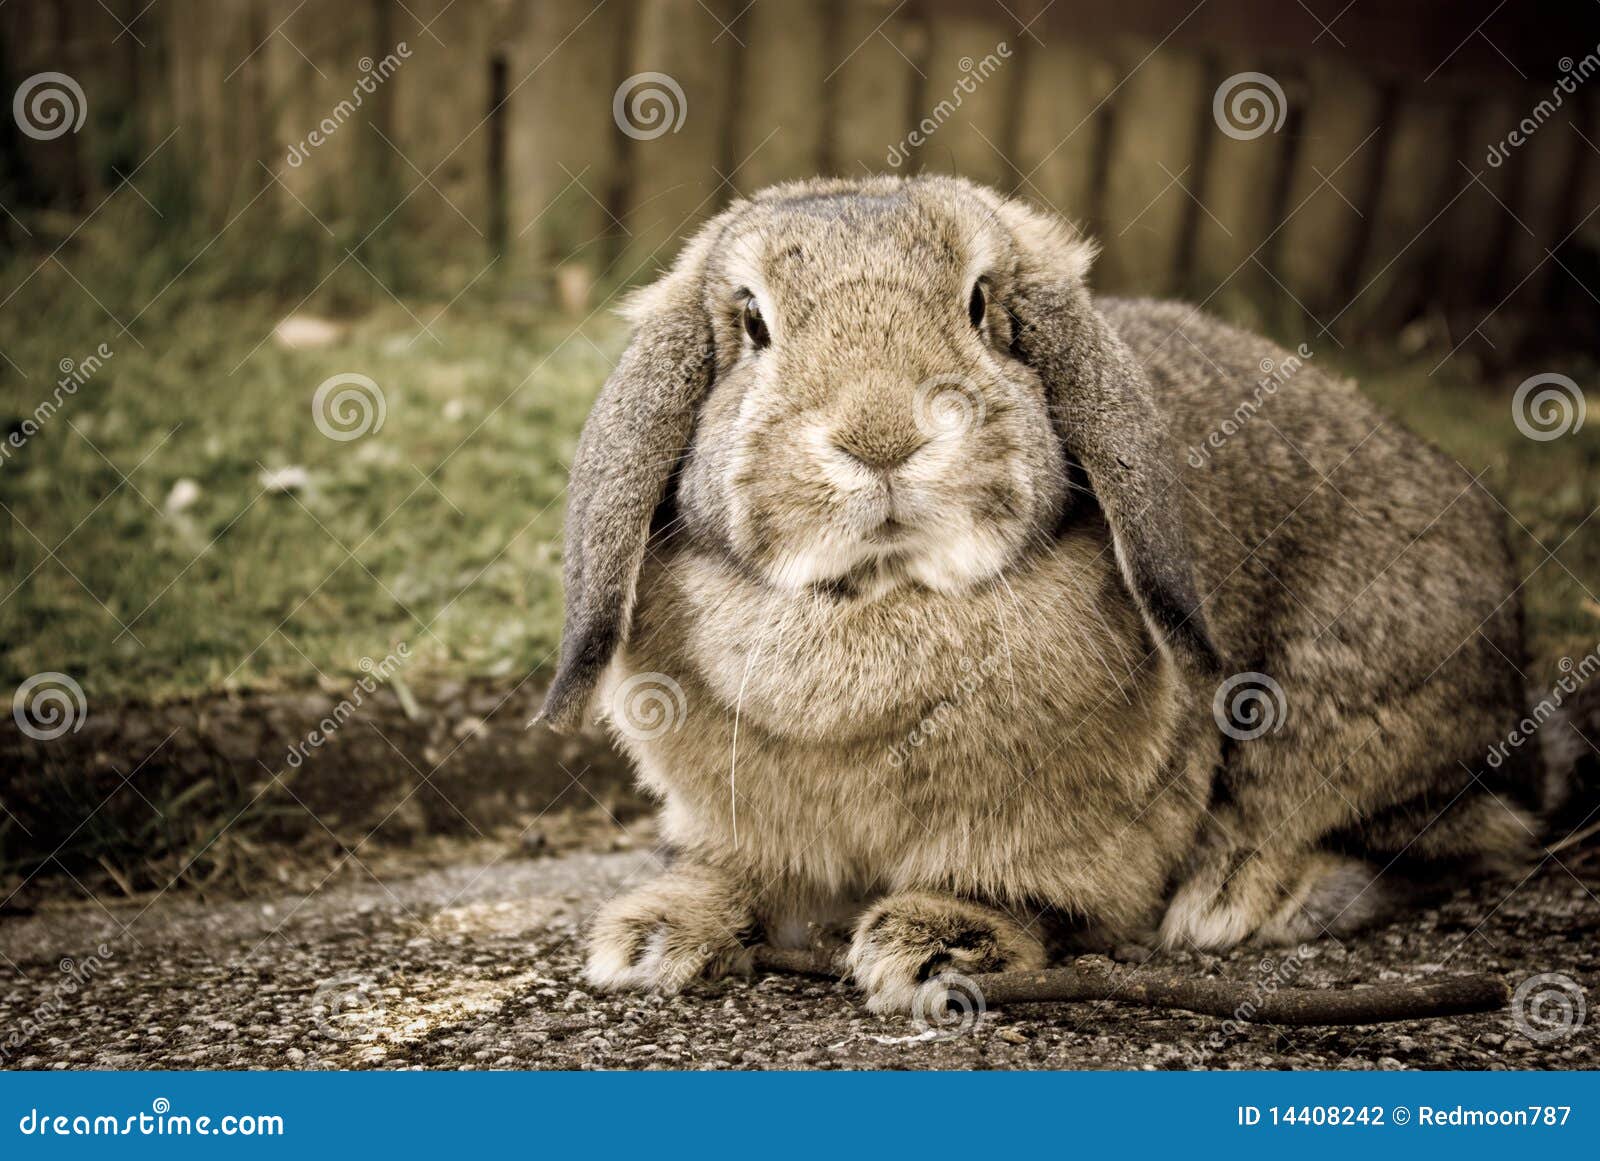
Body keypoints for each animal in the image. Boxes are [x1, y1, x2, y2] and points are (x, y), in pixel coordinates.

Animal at [536, 174, 1567, 1015]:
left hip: (1350, 717)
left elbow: (1017, 889)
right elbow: (726, 874)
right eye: (753, 323)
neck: (882, 590)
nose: (883, 437)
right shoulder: (728, 819)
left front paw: (935, 942)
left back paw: (1245, 893)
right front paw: (652, 937)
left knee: (1455, 832)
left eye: (980, 304)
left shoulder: (1056, 829)